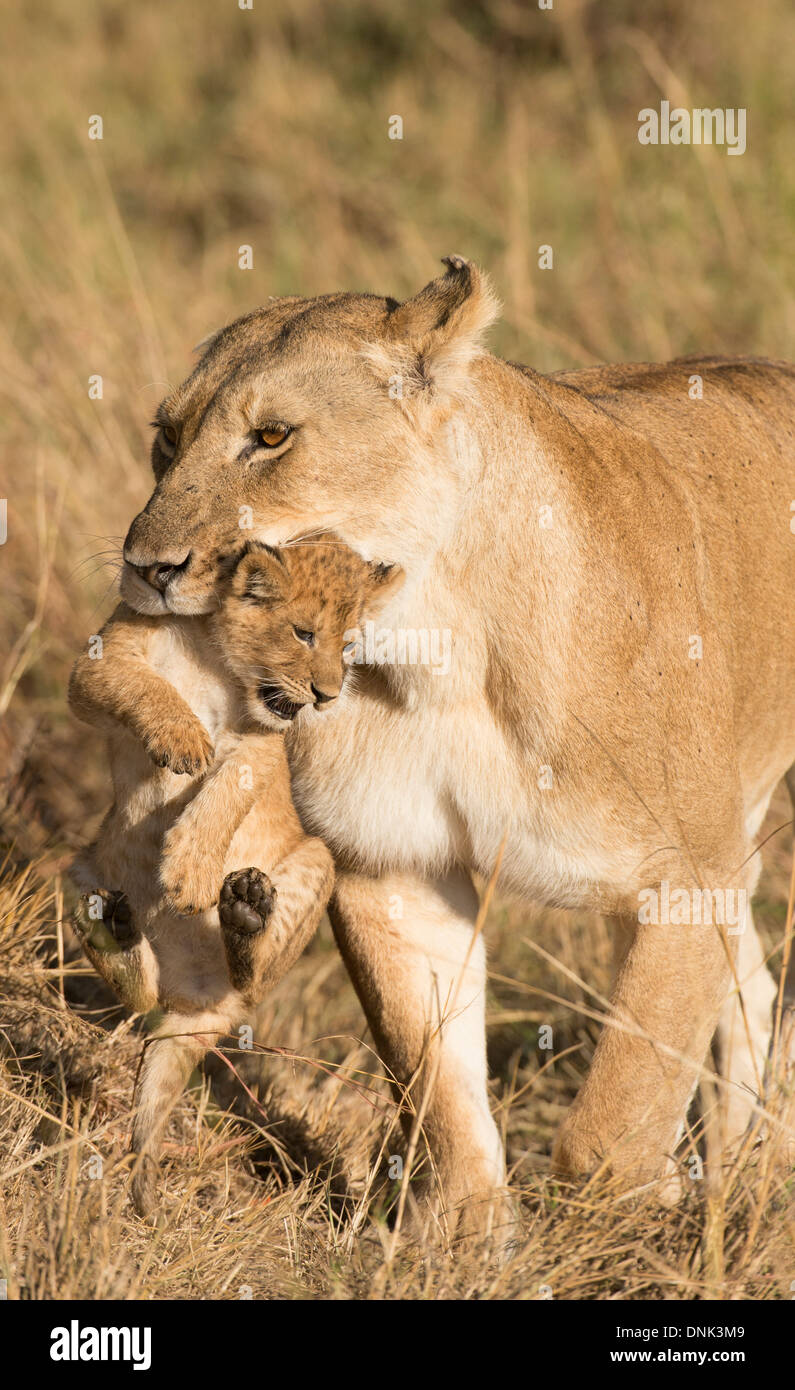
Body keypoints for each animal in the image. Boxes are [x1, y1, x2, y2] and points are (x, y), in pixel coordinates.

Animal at [69, 535, 402, 1216]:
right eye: (303, 633)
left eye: (349, 647)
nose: (328, 696)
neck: (206, 649)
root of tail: (196, 1002)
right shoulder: (98, 664)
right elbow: (139, 688)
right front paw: (180, 736)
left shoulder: (258, 747)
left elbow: (225, 792)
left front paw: (188, 872)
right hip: (81, 871)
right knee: (138, 997)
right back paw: (117, 927)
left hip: (317, 863)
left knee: (248, 974)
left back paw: (243, 911)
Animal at [110, 256, 795, 1242]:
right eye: (165, 439)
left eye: (271, 436)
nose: (146, 568)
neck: (438, 653)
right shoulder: (396, 867)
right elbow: (434, 1081)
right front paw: (465, 1238)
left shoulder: (682, 873)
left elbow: (614, 1117)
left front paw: (630, 1217)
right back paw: (751, 1172)